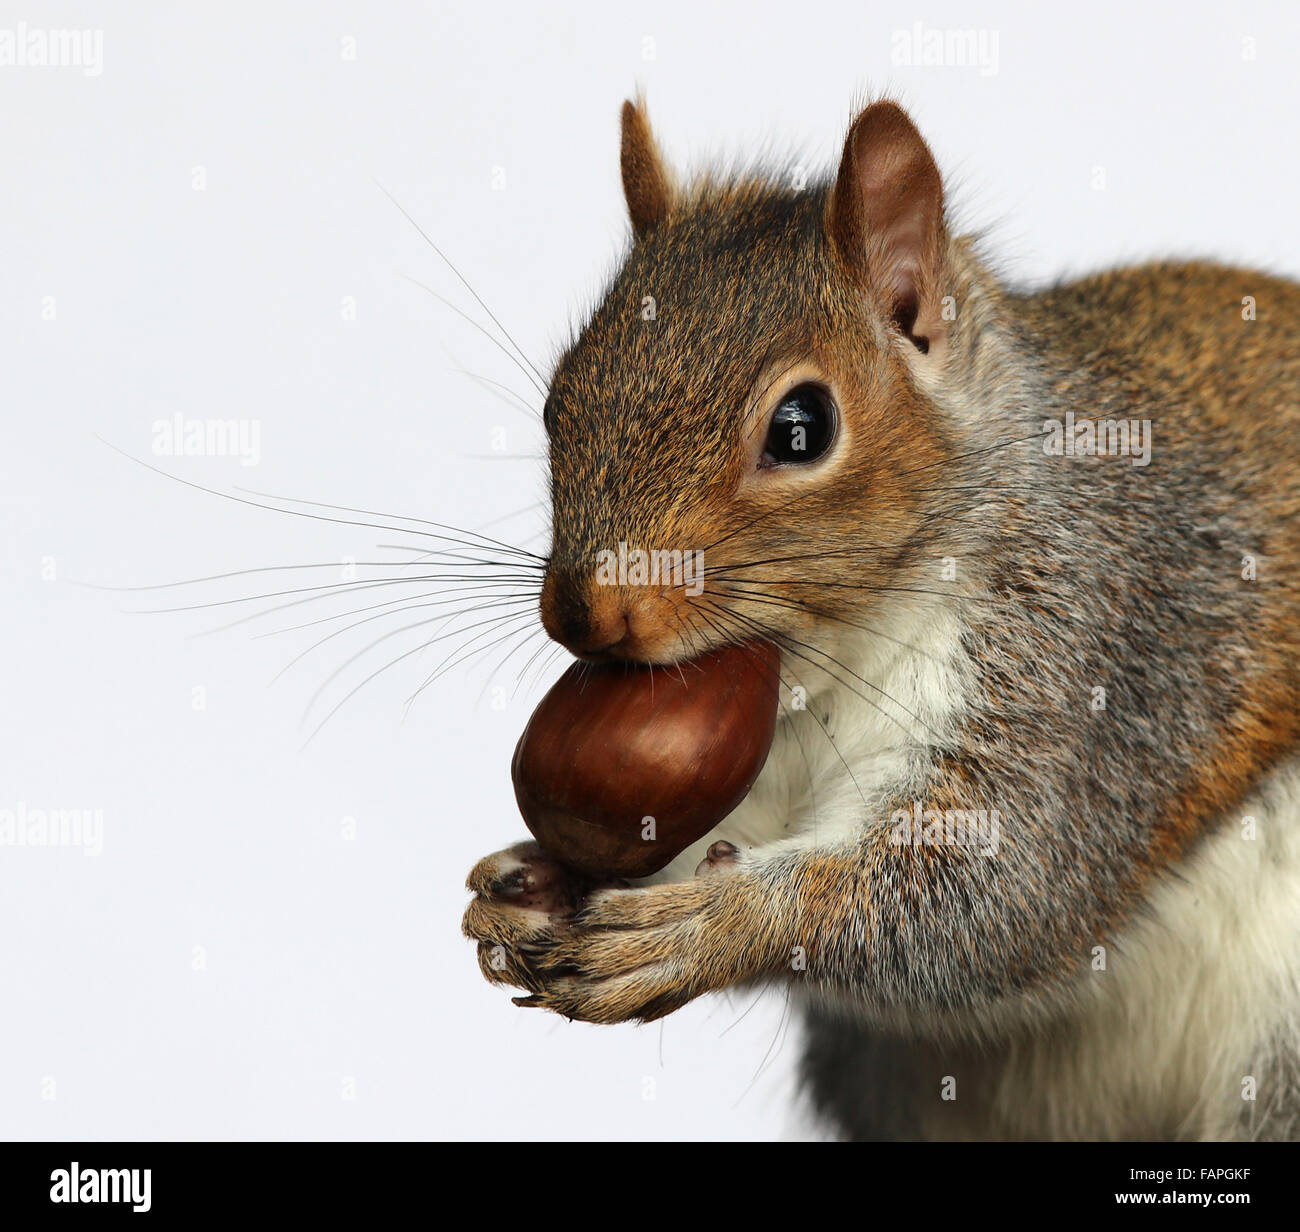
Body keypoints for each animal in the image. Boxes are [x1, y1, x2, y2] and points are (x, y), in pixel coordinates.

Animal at [462, 96, 1300, 1141]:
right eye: (556, 402)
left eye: (801, 428)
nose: (586, 614)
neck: (827, 657)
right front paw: (536, 883)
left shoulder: (1096, 662)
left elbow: (1001, 889)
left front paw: (717, 925)